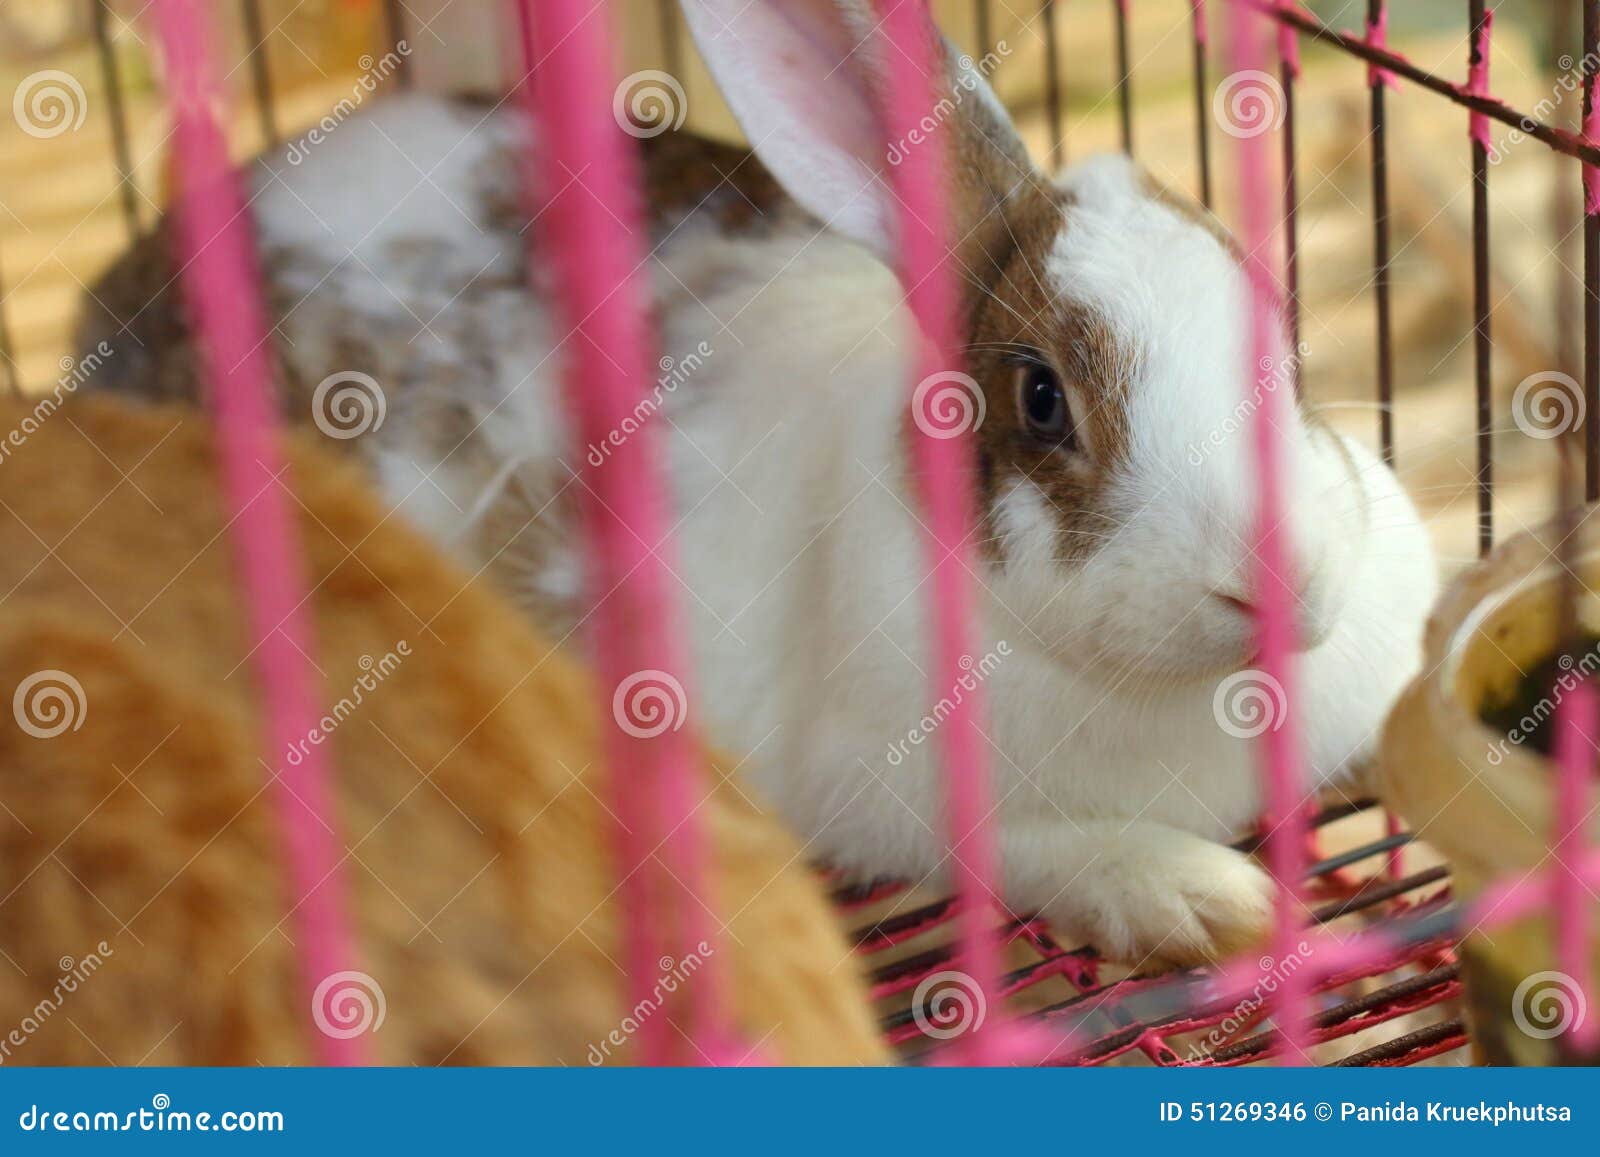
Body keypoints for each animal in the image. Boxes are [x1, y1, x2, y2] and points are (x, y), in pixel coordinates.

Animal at [76, 0, 1439, 969]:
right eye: (1042, 397)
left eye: (1280, 331)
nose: (1279, 579)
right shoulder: (885, 796)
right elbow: (1049, 849)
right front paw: (1199, 900)